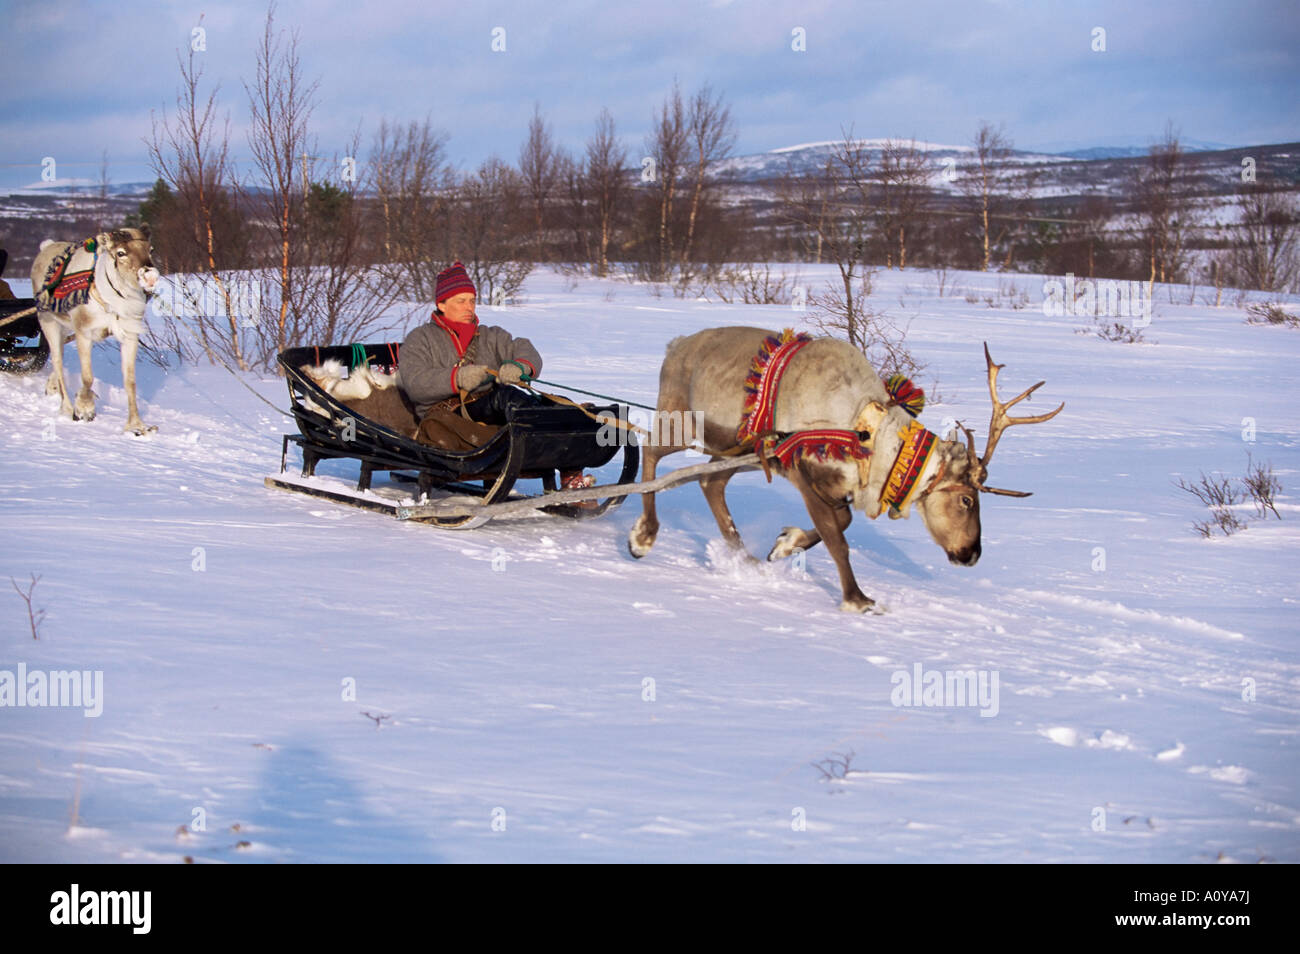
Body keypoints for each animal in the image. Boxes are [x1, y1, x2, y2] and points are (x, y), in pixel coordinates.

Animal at [627, 327, 1063, 612]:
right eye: (967, 500)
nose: (972, 554)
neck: (867, 434)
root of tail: (675, 345)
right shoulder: (803, 471)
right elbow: (838, 537)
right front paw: (858, 599)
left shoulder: (830, 481)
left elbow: (842, 521)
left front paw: (784, 545)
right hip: (682, 421)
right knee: (650, 452)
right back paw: (644, 537)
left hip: (738, 446)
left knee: (709, 480)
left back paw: (742, 558)